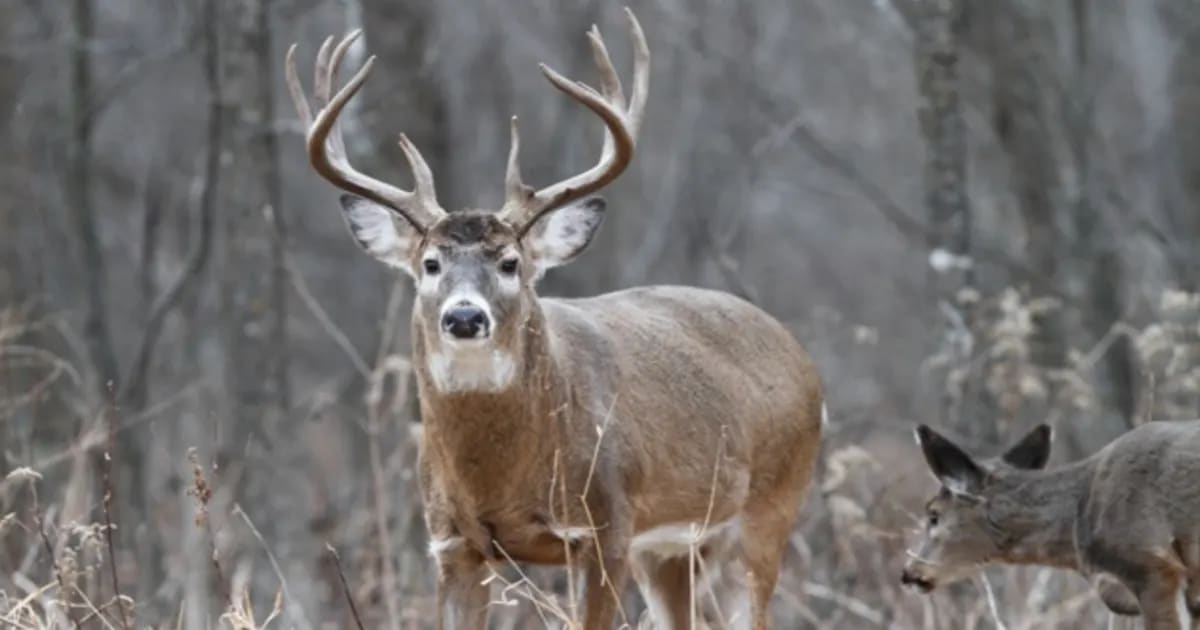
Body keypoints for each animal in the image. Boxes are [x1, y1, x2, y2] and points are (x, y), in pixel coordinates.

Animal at [284, 9, 824, 630]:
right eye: (430, 263)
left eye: (510, 262)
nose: (464, 316)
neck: (500, 477)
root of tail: (799, 354)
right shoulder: (451, 543)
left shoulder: (606, 525)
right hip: (673, 549)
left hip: (766, 512)